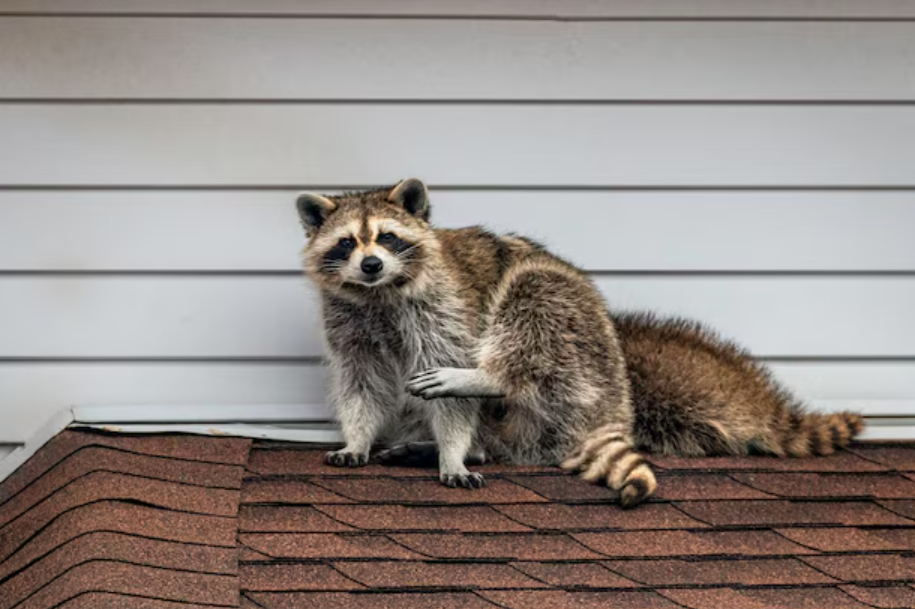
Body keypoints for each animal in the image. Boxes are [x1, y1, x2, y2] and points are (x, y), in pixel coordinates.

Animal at [296, 179, 864, 507]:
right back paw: (458, 446)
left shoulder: (443, 305)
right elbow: (362, 382)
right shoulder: (347, 318)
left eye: (388, 237)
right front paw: (359, 437)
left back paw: (489, 381)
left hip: (576, 339)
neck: (379, 293)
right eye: (347, 243)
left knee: (533, 296)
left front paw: (453, 452)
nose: (371, 264)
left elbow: (450, 379)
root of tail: (613, 402)